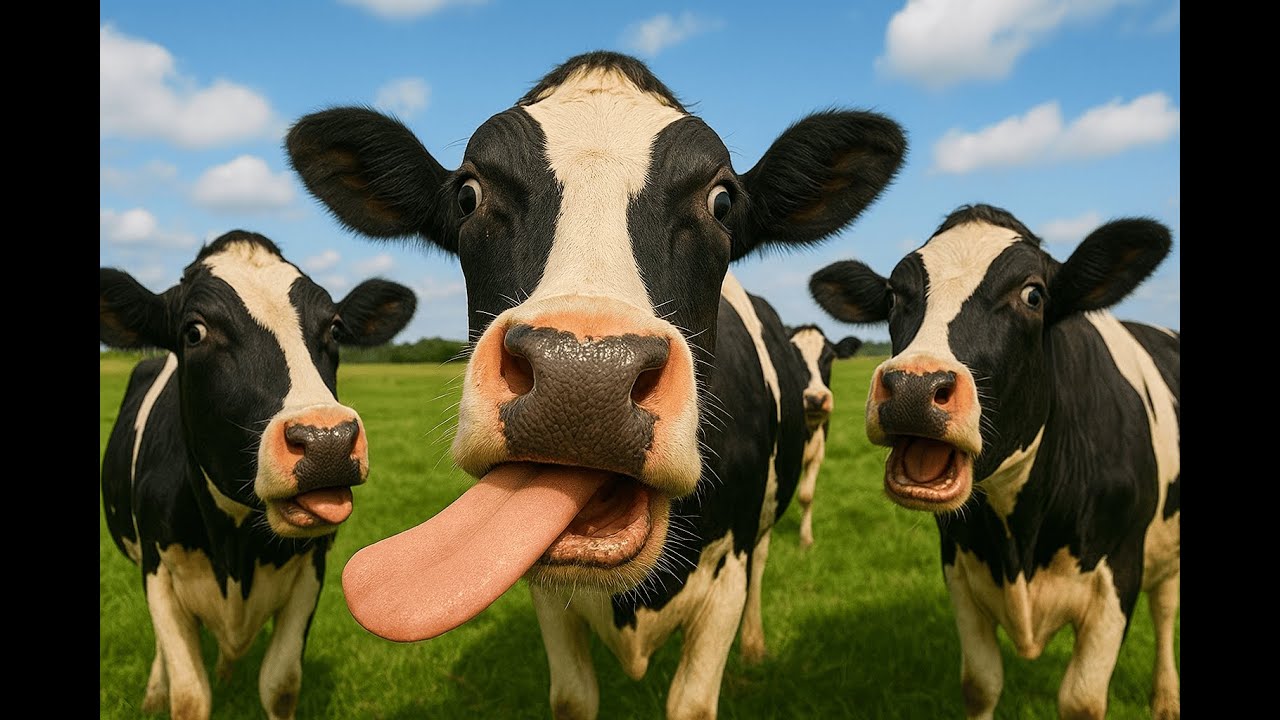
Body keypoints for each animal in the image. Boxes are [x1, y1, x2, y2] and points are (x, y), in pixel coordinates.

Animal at [99, 230, 416, 720]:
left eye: (335, 328)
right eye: (194, 331)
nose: (327, 440)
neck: (234, 547)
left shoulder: (311, 568)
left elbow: (280, 684)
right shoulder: (157, 571)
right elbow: (188, 694)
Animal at [808, 203, 1179, 720]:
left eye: (1033, 294)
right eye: (893, 296)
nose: (914, 388)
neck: (1019, 536)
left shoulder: (1118, 574)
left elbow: (1082, 700)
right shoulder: (959, 569)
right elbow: (980, 685)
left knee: (1164, 608)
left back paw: (1165, 697)